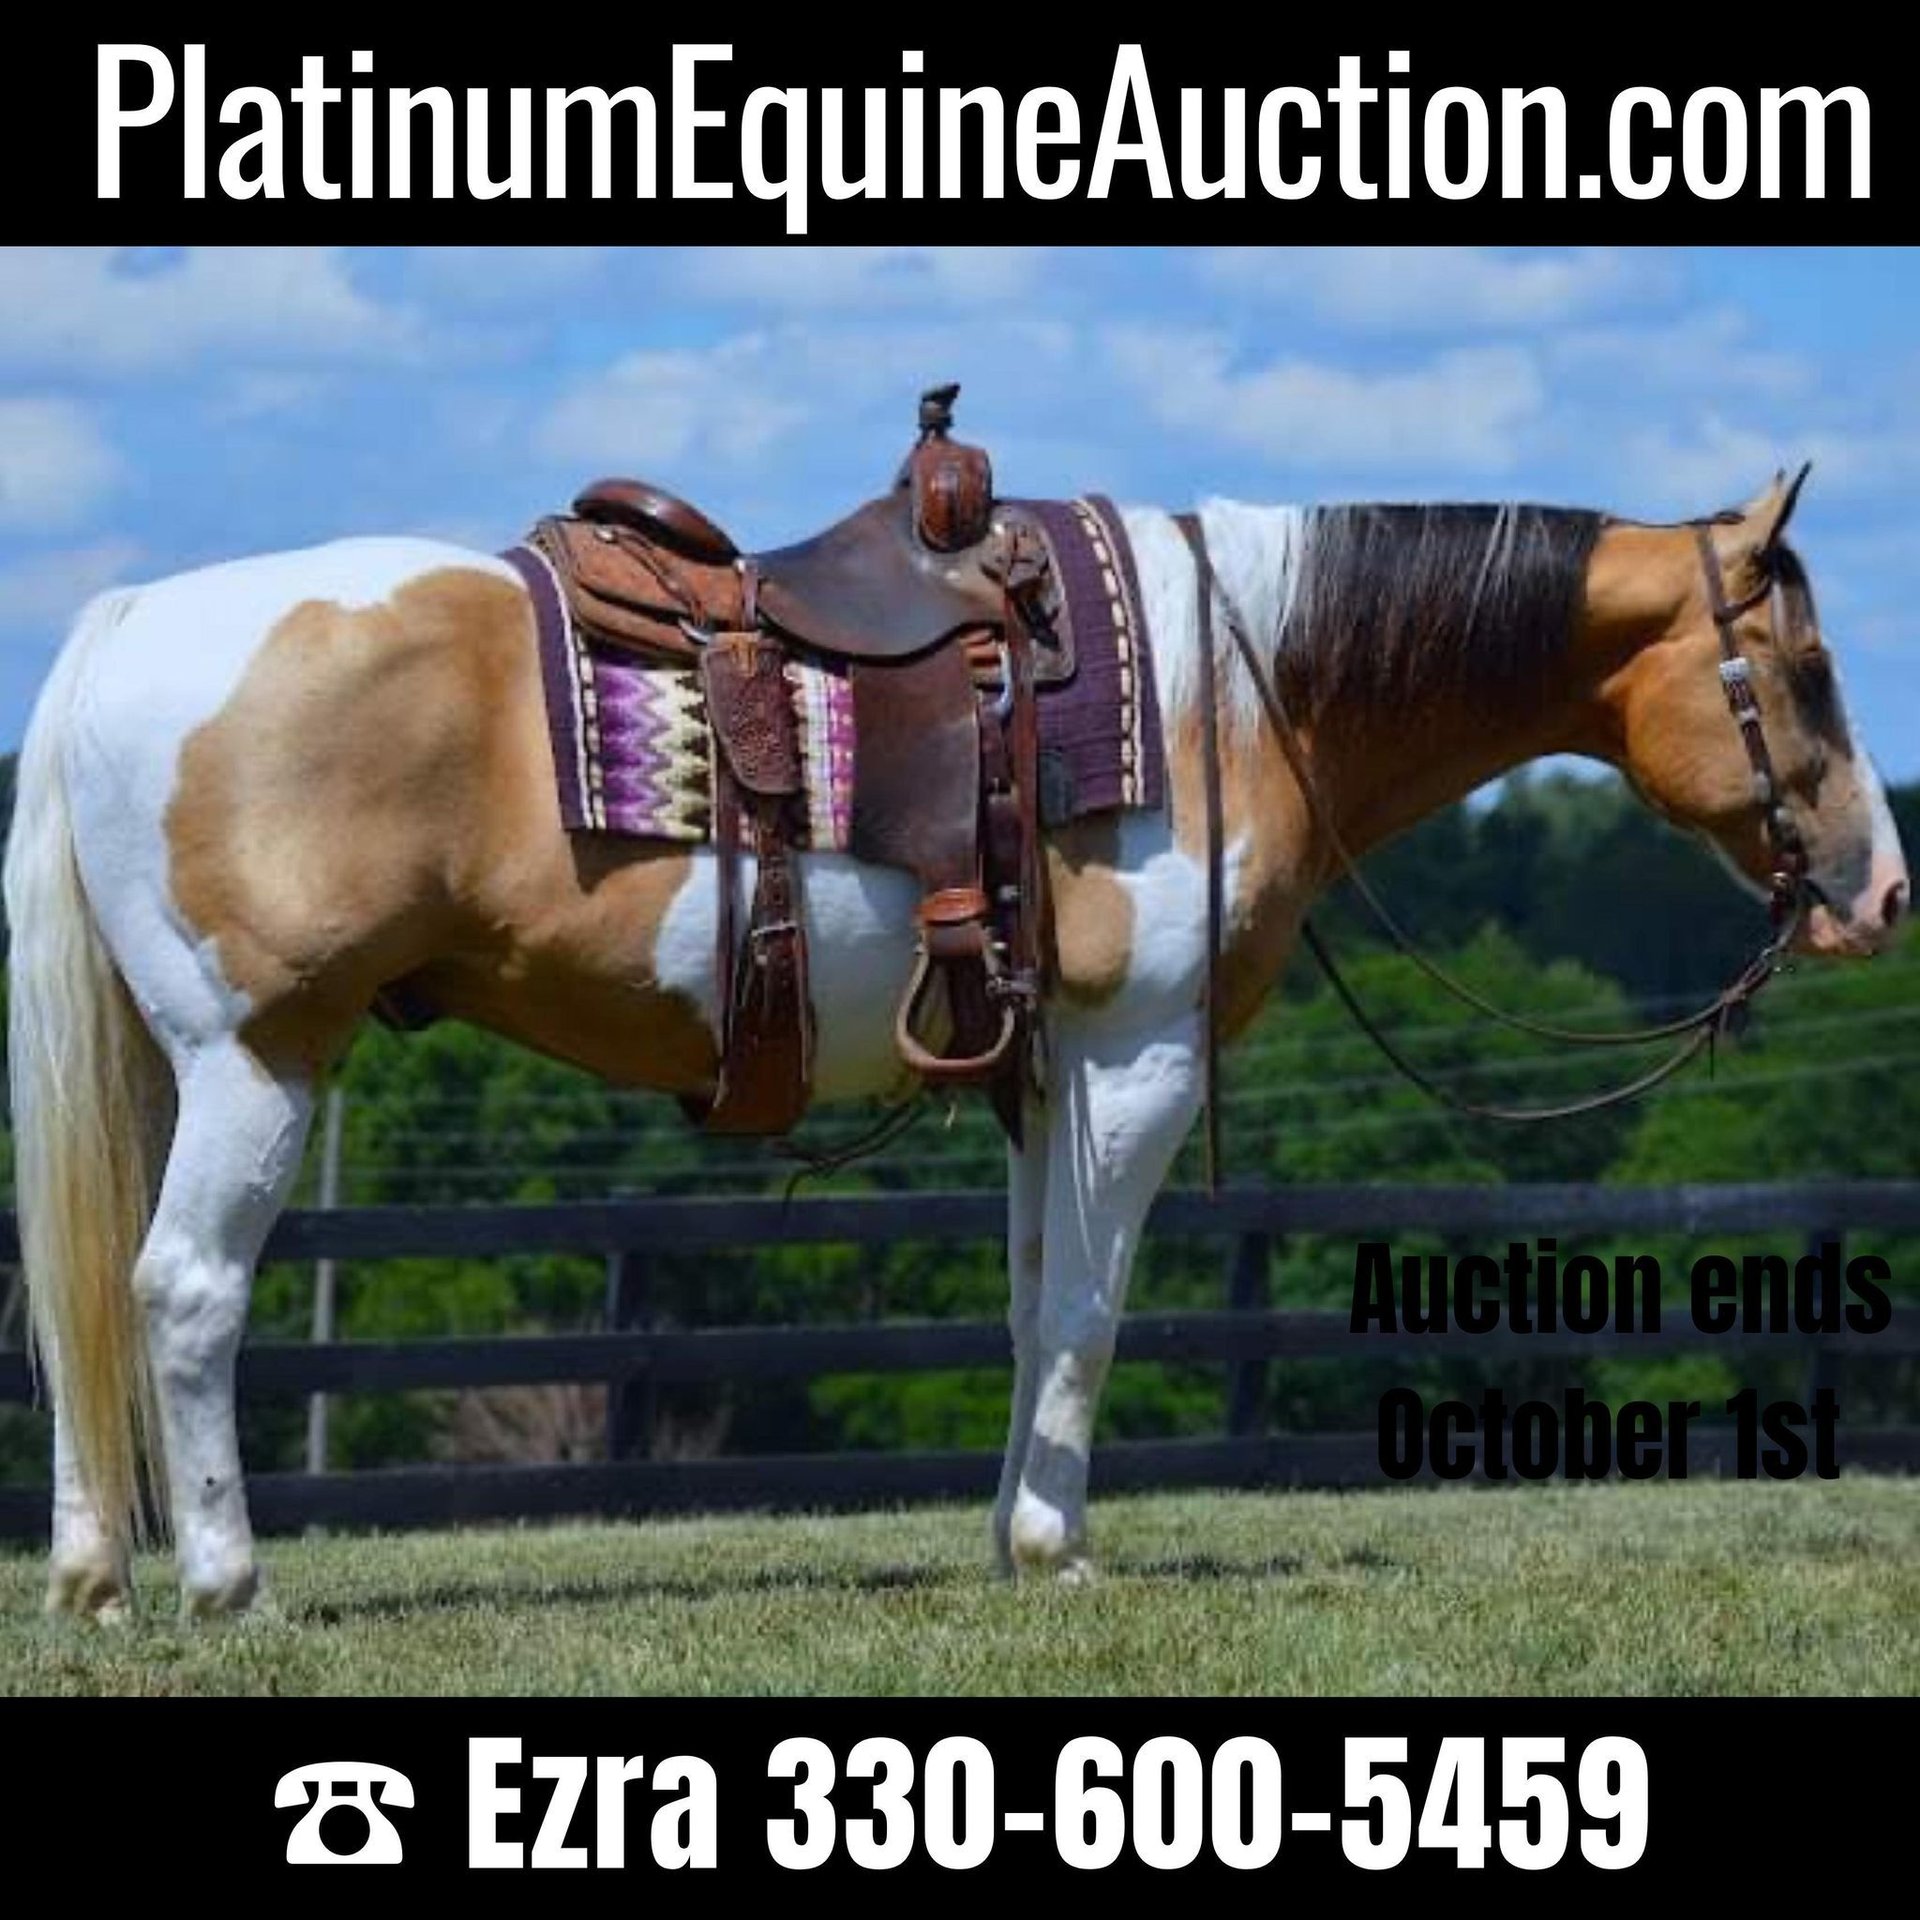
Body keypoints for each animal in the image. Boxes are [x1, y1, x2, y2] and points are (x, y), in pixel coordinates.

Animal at [5, 465, 1908, 1619]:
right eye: (1808, 672)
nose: (1880, 893)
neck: (1239, 685)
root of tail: (125, 620)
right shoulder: (1135, 1062)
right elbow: (1088, 1311)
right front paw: (1058, 1548)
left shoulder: (1034, 1073)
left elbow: (1023, 1306)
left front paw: (1010, 1530)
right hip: (258, 1056)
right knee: (181, 1291)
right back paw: (227, 1581)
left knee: (92, 1292)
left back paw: (98, 1570)